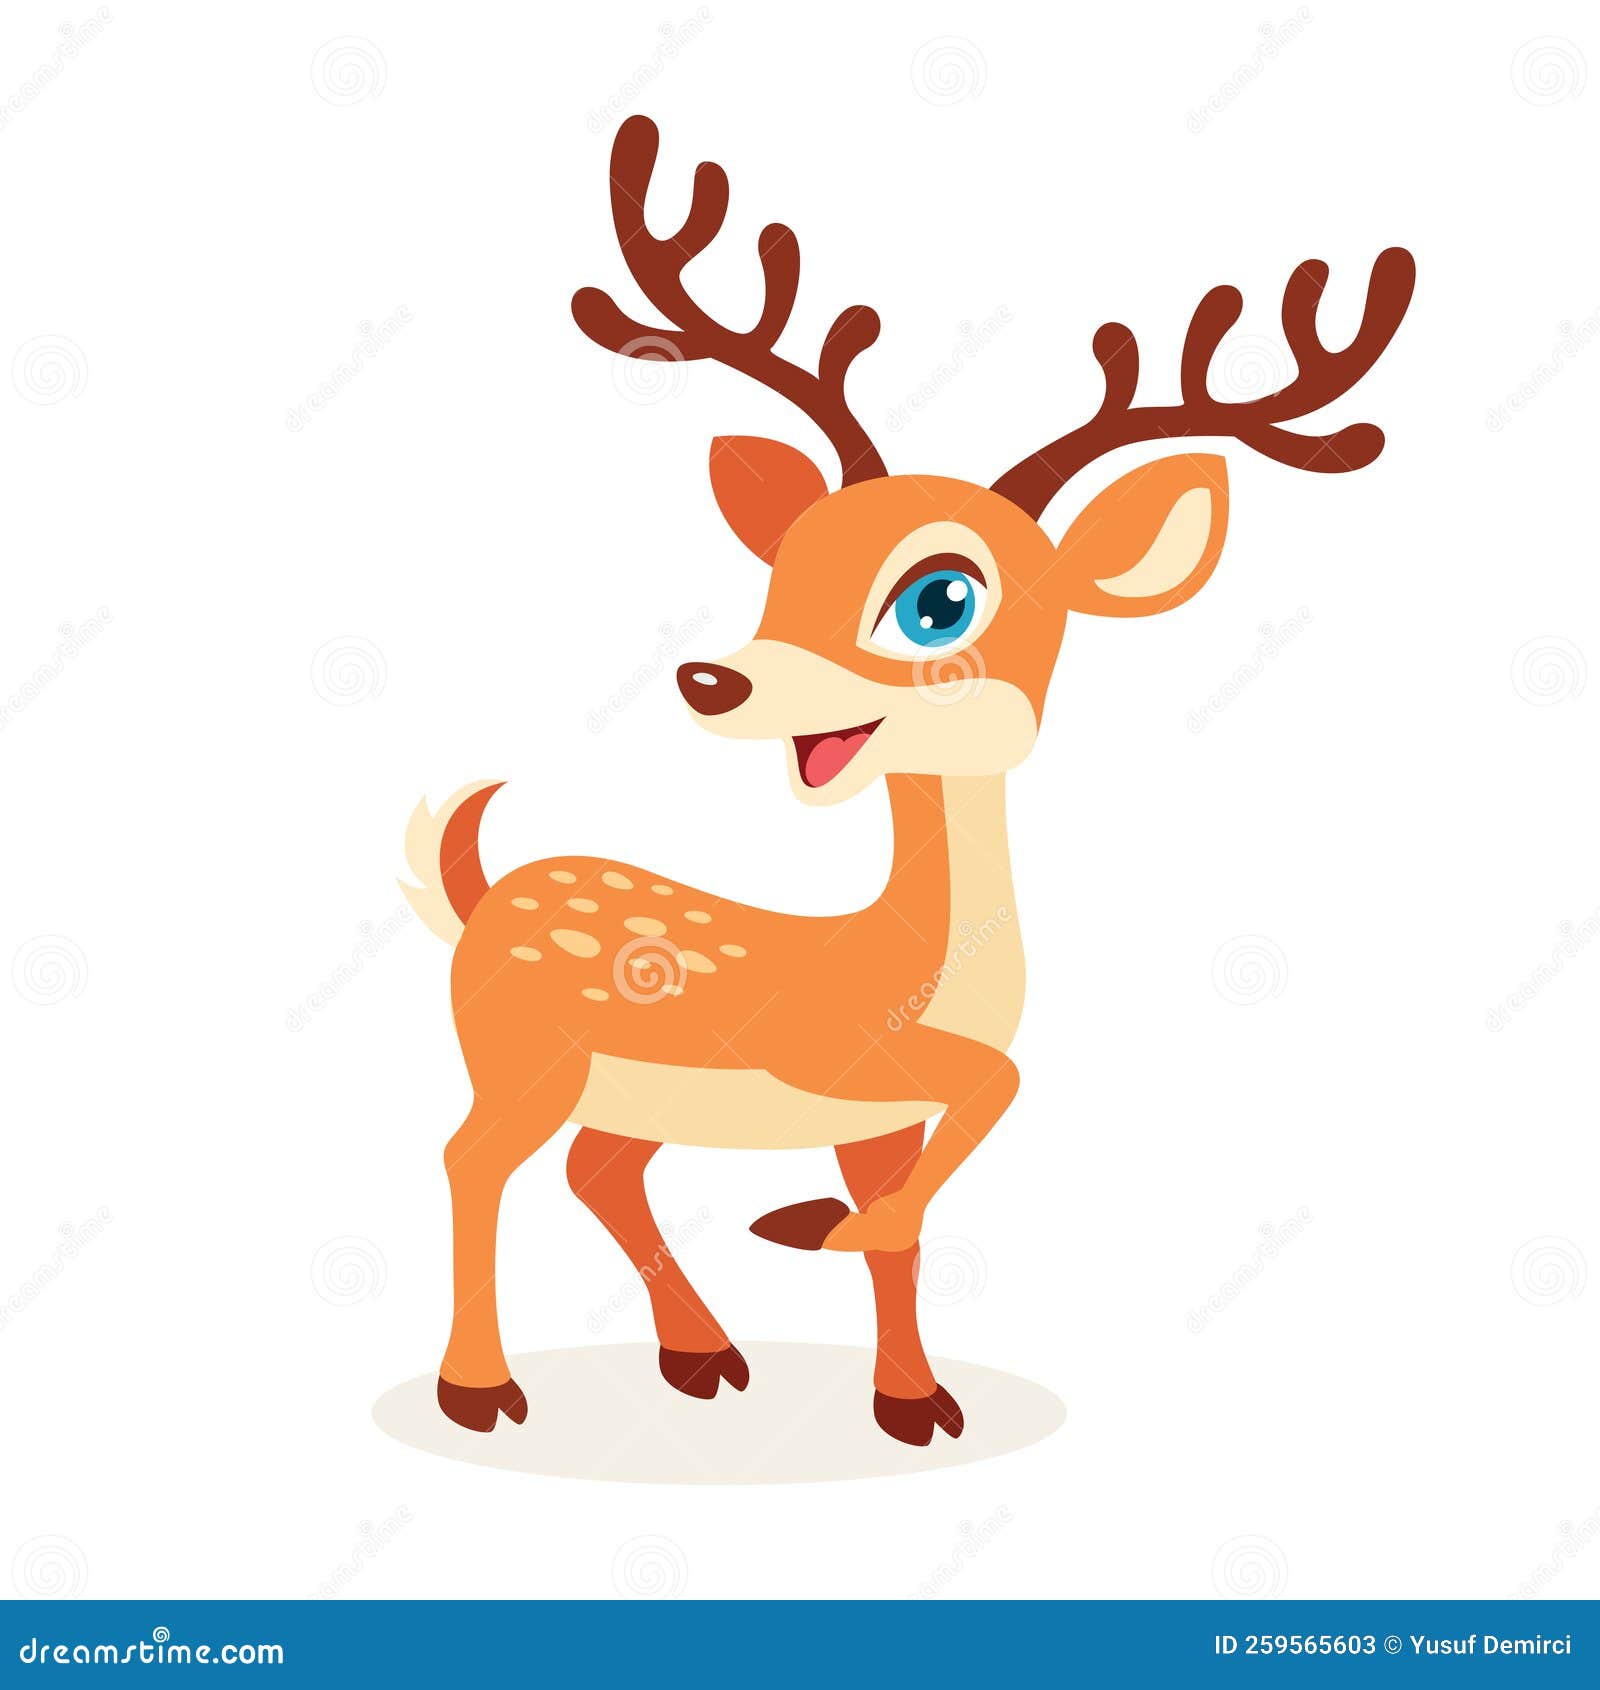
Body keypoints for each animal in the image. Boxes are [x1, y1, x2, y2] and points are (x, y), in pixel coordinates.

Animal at [402, 115, 1414, 1444]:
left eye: (941, 599)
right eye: (782, 565)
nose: (714, 680)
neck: (914, 968)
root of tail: (484, 895)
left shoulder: (877, 1118)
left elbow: (920, 1219)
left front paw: (912, 1390)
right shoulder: (827, 1059)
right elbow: (995, 1082)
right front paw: (819, 1234)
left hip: (619, 1091)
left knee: (595, 1169)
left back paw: (701, 1355)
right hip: (521, 1054)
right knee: (474, 1159)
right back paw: (481, 1389)